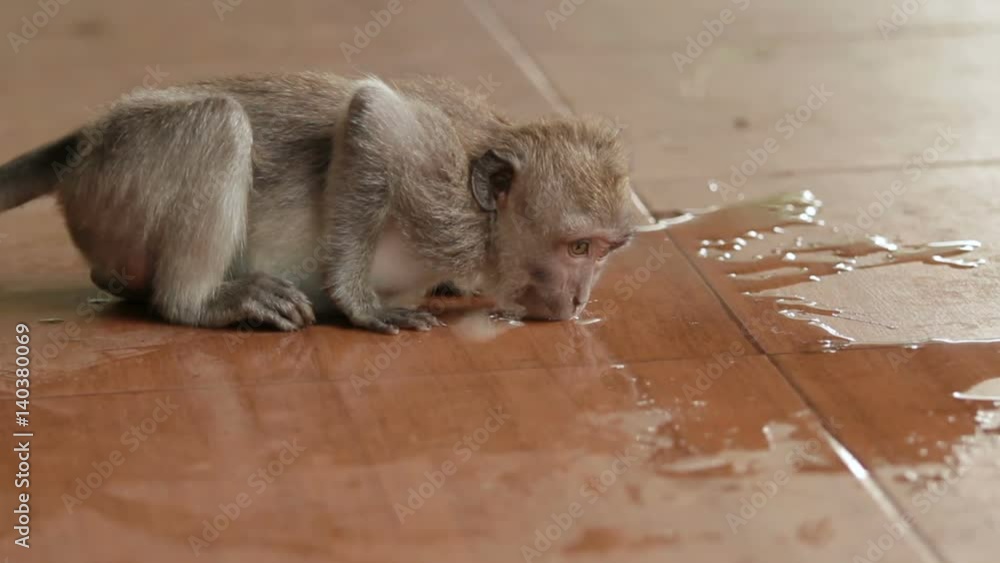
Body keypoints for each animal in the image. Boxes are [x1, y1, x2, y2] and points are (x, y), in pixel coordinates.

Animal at [0, 72, 638, 333]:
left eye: (606, 251)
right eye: (578, 247)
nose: (580, 300)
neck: (487, 231)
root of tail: (86, 142)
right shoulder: (443, 201)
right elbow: (372, 118)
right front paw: (361, 306)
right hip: (119, 169)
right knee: (218, 124)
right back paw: (198, 302)